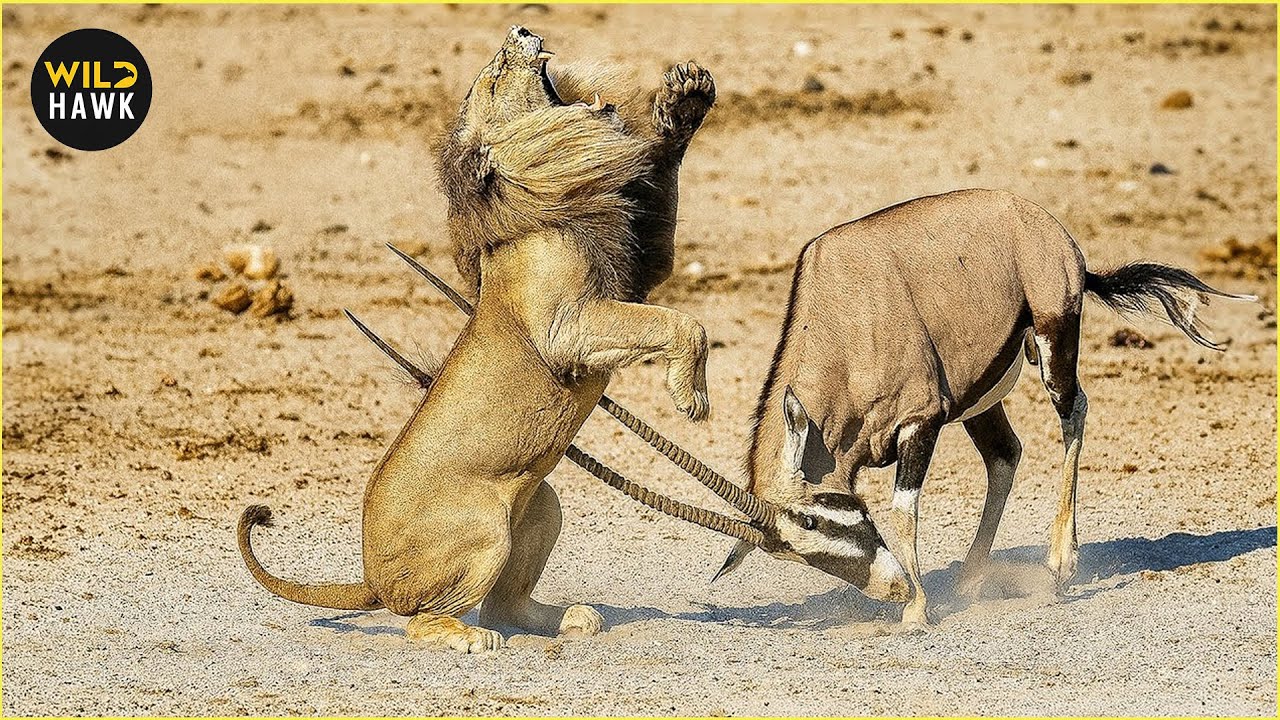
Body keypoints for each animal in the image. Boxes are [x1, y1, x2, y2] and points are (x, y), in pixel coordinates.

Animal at [237, 27, 716, 652]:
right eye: (489, 80)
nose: (521, 31)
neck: (549, 171)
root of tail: (370, 576)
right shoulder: (569, 327)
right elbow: (680, 324)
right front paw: (691, 396)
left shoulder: (639, 266)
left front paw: (685, 101)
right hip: (485, 528)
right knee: (422, 619)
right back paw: (465, 637)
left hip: (542, 505)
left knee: (504, 604)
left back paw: (571, 619)